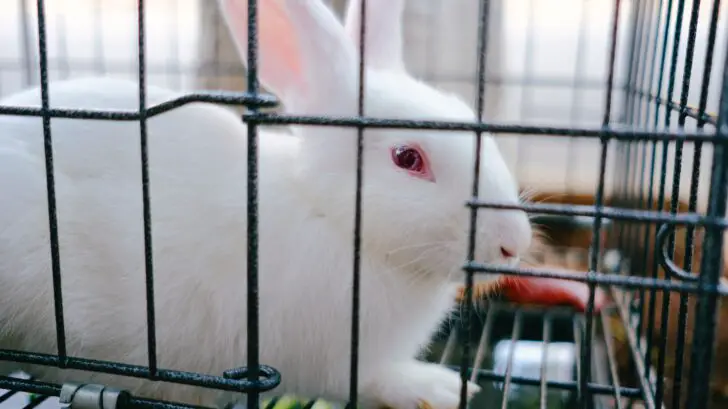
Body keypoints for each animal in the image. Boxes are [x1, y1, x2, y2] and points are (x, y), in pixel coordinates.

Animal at [0, 0, 532, 407]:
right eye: (408, 158)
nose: (513, 244)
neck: (332, 217)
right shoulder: (330, 361)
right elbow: (368, 382)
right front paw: (437, 388)